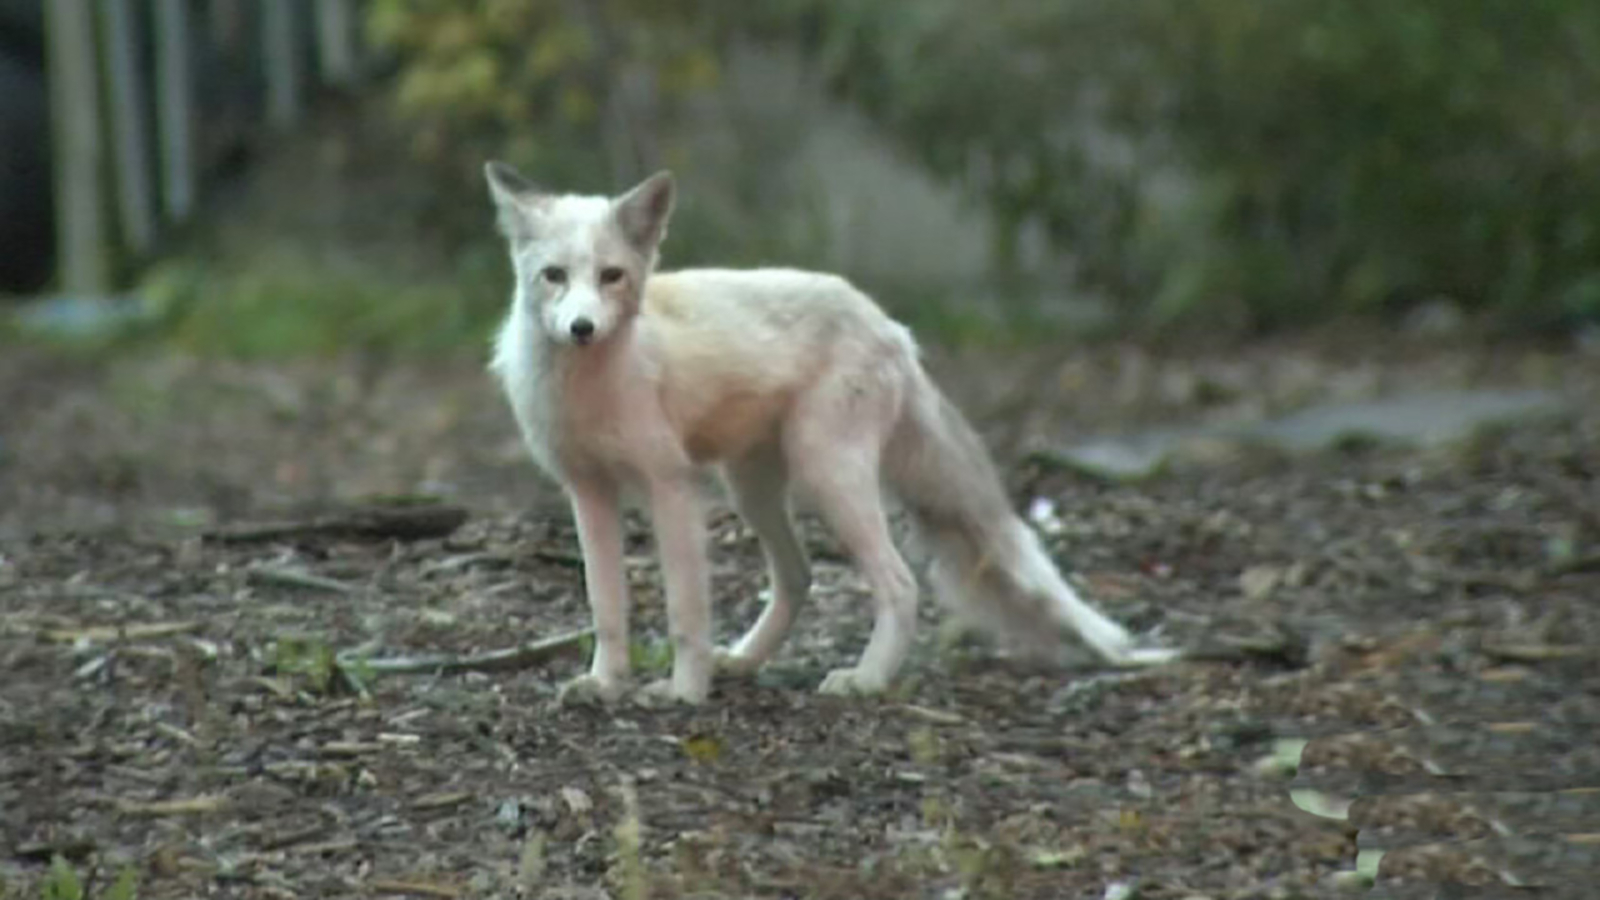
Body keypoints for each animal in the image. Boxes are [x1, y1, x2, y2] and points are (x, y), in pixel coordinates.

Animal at [483, 161, 1179, 705]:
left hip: (827, 477)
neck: (587, 392)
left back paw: (865, 680)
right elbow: (606, 607)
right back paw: (745, 660)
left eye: (611, 276)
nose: (581, 328)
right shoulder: (588, 492)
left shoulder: (671, 486)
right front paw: (604, 684)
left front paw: (684, 691)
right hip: (754, 491)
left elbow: (684, 610)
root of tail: (889, 324)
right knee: (798, 578)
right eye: (554, 276)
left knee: (899, 584)